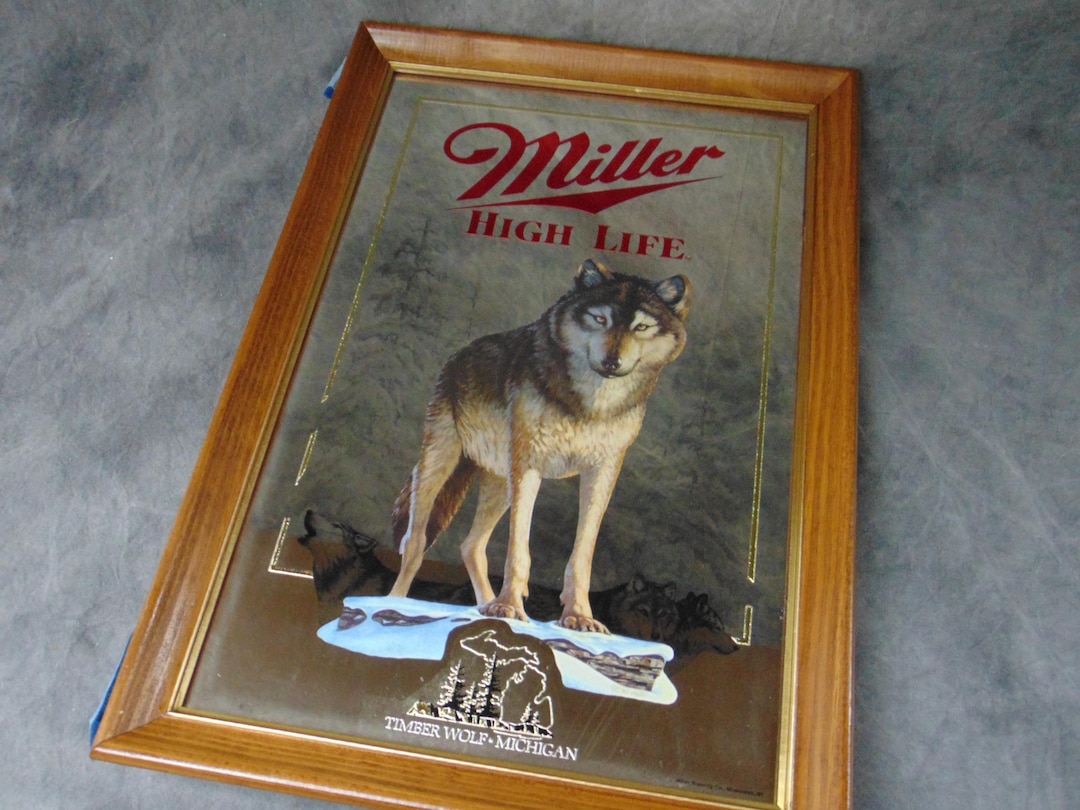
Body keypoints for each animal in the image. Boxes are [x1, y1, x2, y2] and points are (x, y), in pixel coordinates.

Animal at [388, 259, 691, 633]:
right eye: (600, 319)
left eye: (642, 326)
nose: (612, 361)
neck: (591, 404)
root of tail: (460, 353)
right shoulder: (528, 466)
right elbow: (519, 549)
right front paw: (509, 607)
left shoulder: (602, 472)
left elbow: (582, 555)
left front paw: (578, 616)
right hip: (441, 463)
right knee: (414, 540)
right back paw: (393, 602)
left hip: (499, 484)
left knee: (470, 546)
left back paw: (483, 605)